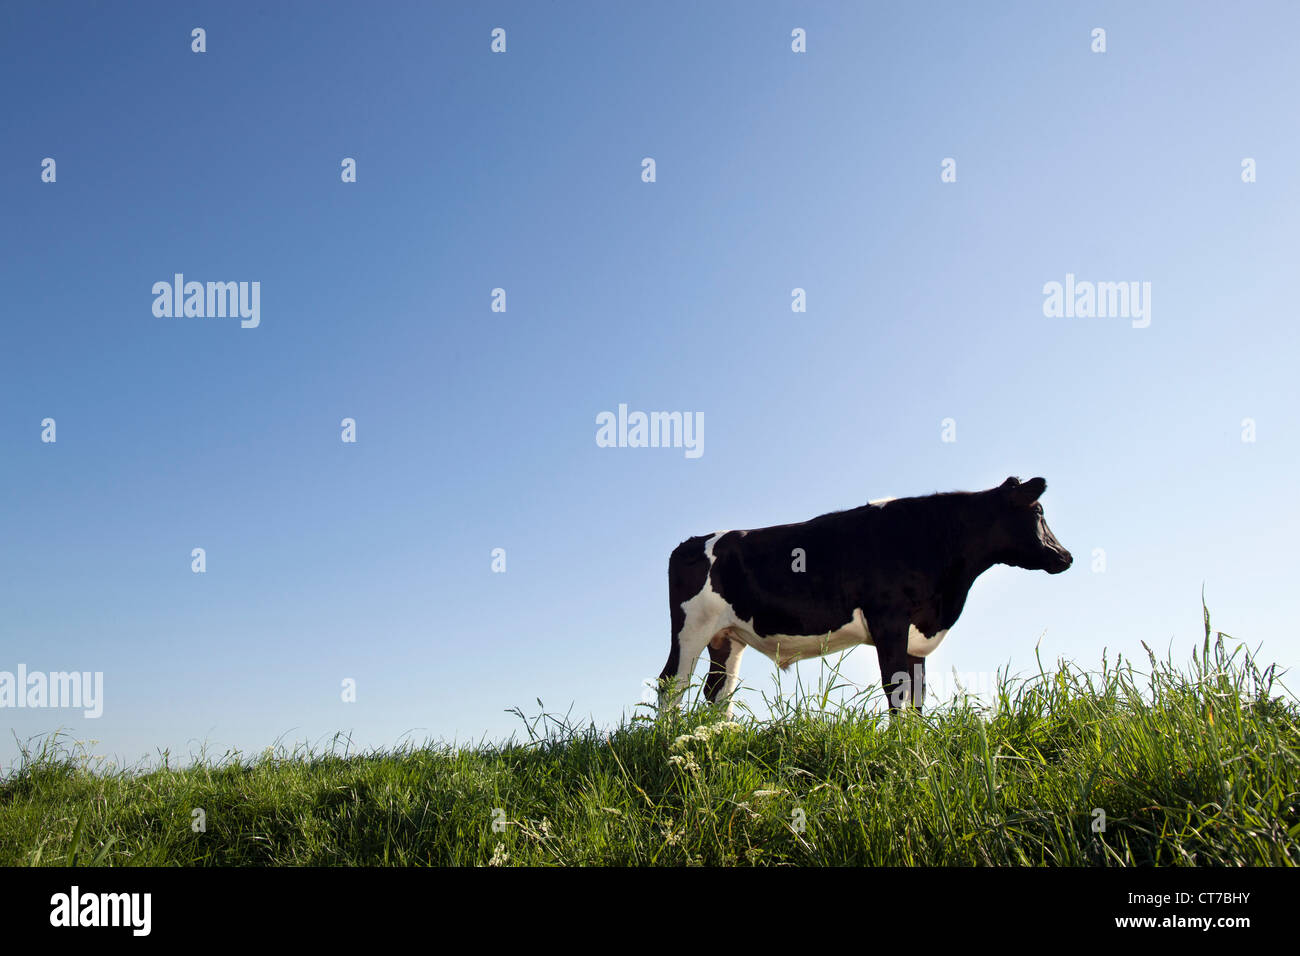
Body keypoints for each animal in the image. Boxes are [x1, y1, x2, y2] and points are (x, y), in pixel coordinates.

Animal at [656, 476, 1072, 716]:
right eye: (1039, 511)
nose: (1066, 556)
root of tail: (689, 542)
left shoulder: (916, 635)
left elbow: (917, 697)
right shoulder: (889, 621)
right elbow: (896, 690)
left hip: (727, 637)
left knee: (718, 694)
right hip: (690, 628)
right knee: (670, 684)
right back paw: (668, 744)